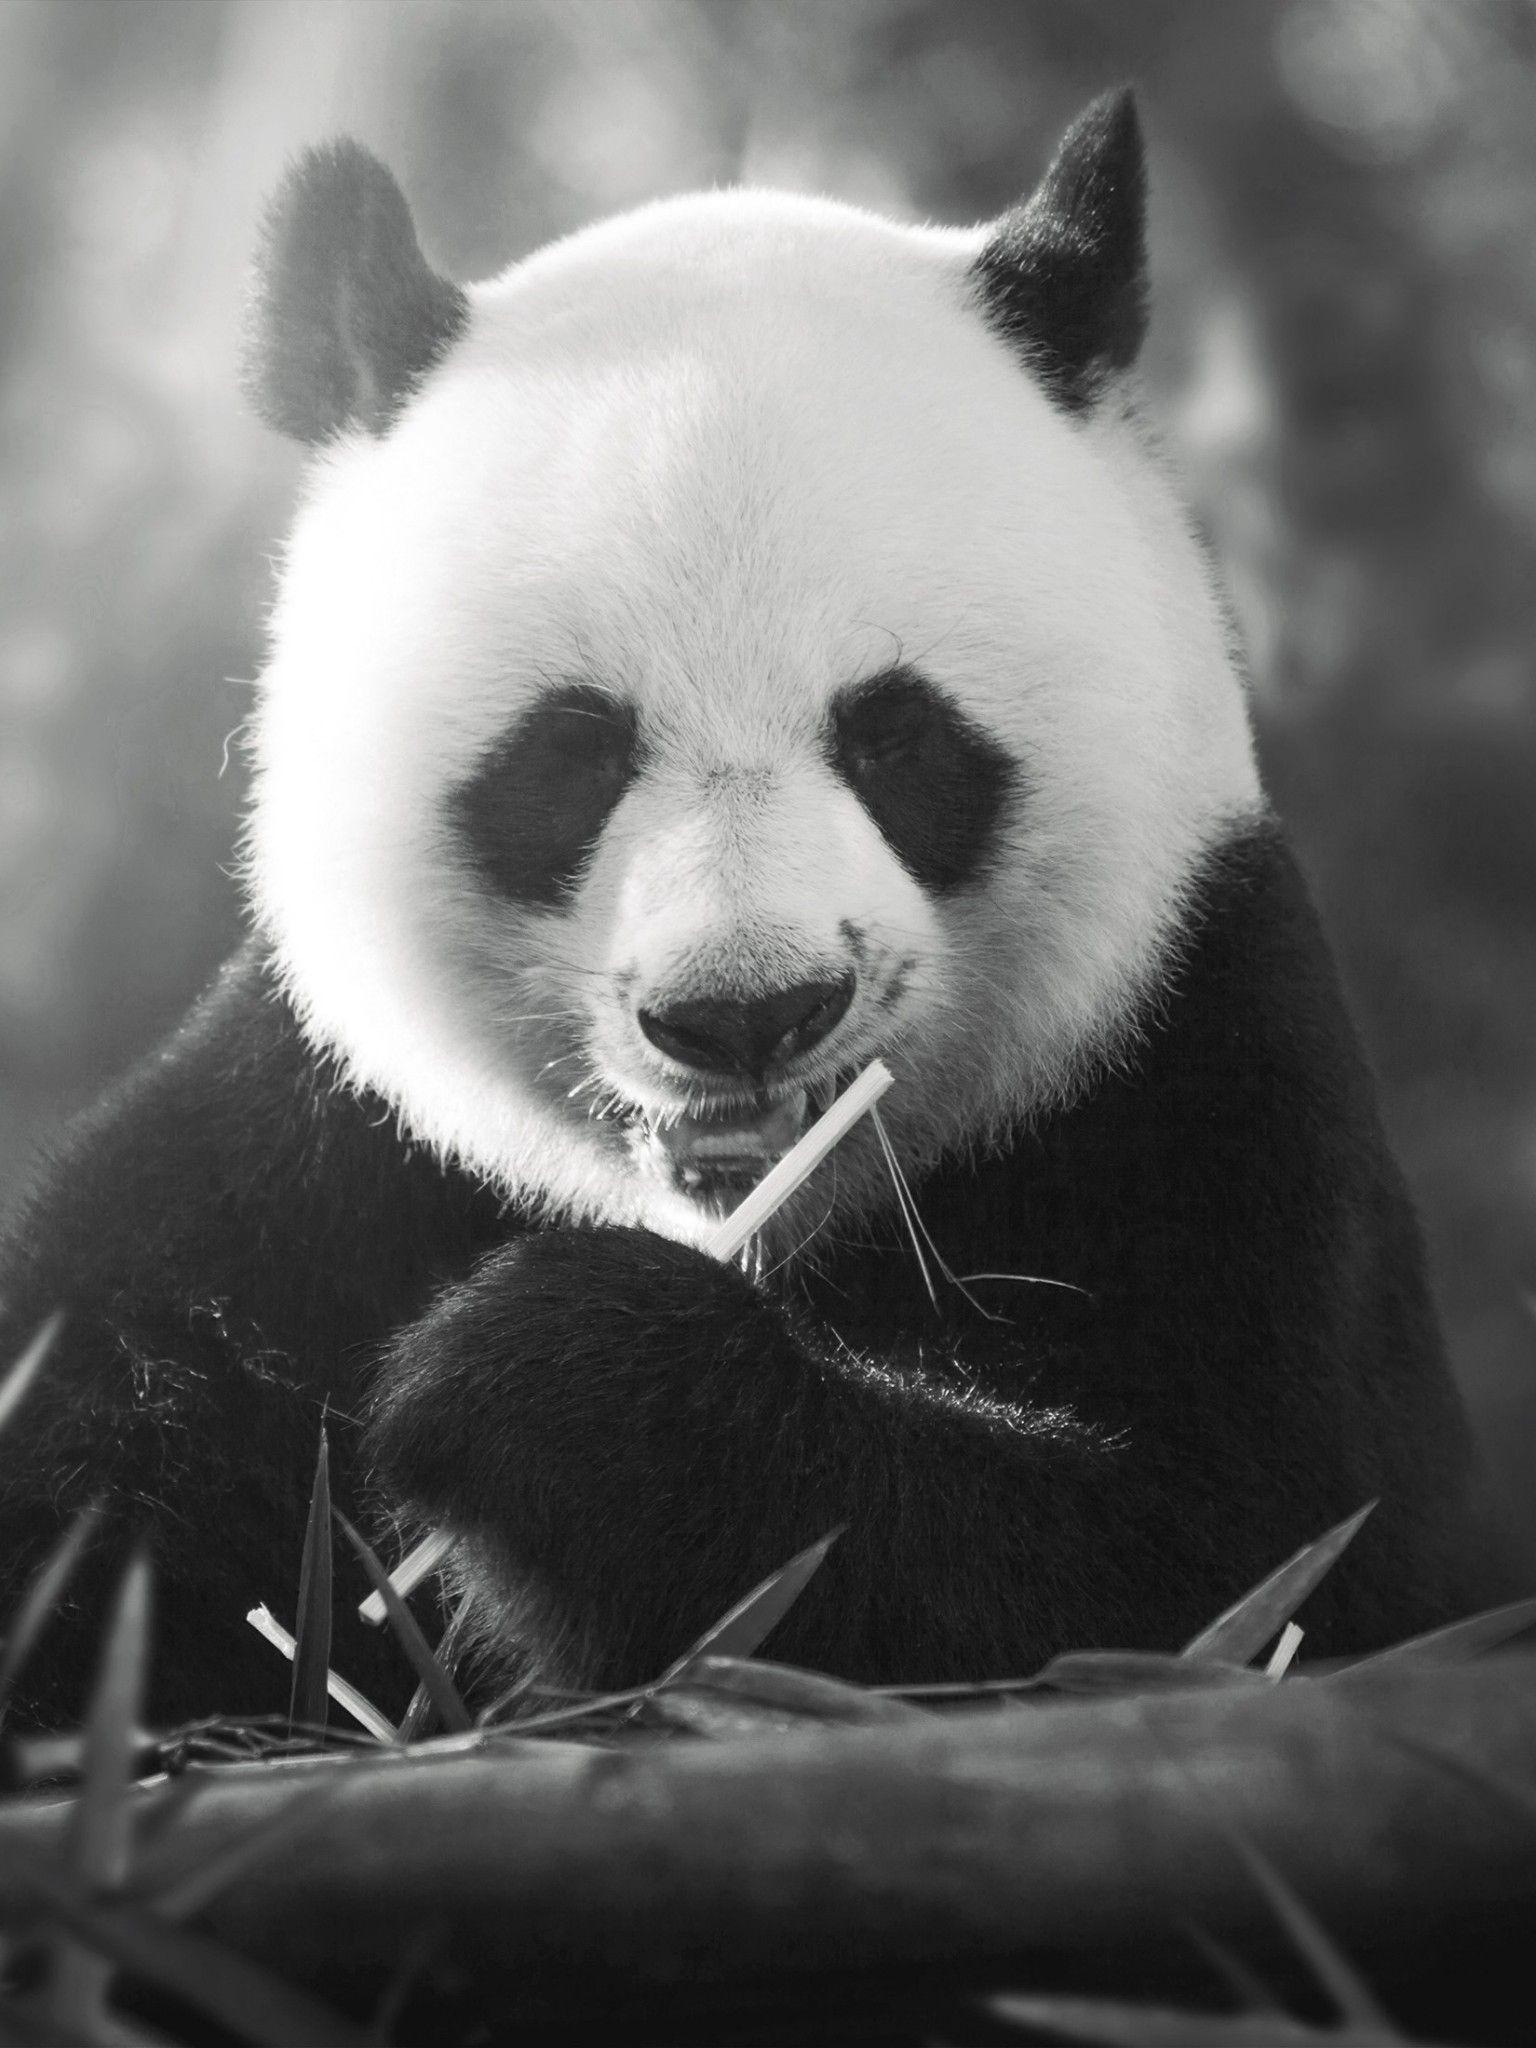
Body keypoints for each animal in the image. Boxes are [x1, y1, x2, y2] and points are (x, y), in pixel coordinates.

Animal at [0, 90, 1503, 1730]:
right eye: (571, 752)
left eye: (899, 737)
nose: (746, 1013)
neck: (762, 1230)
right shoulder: (311, 1159)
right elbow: (96, 1452)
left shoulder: (1201, 1073)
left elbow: (1222, 1570)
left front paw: (534, 1382)